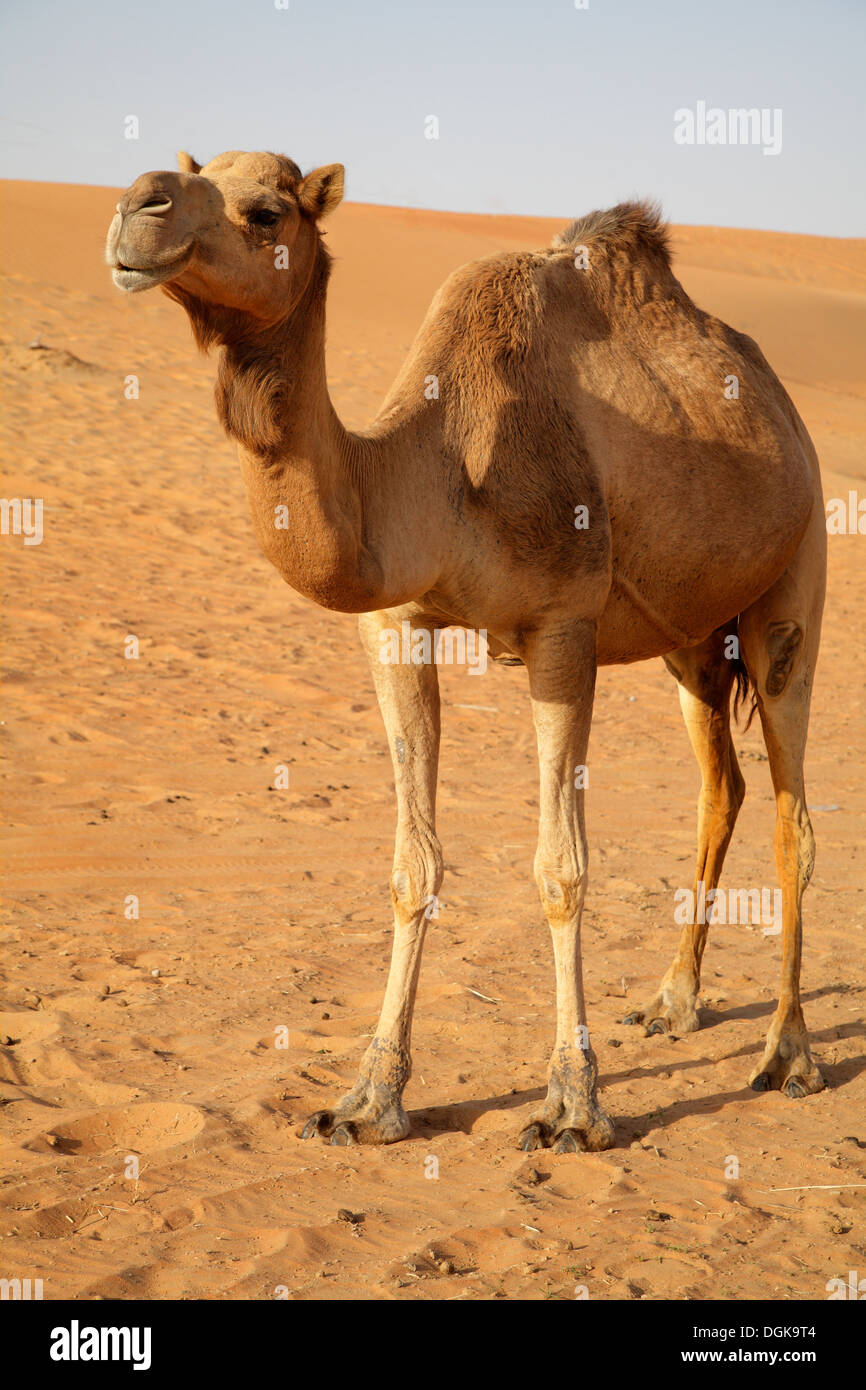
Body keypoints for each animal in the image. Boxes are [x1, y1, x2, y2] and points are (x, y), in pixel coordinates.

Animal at [106, 150, 827, 1153]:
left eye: (267, 212)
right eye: (197, 167)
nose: (140, 203)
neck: (440, 472)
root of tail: (784, 409)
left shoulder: (562, 628)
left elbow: (561, 869)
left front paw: (573, 1108)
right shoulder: (396, 624)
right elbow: (414, 864)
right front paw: (368, 1099)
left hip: (795, 583)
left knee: (794, 815)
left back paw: (787, 1055)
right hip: (690, 642)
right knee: (721, 789)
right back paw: (673, 1001)